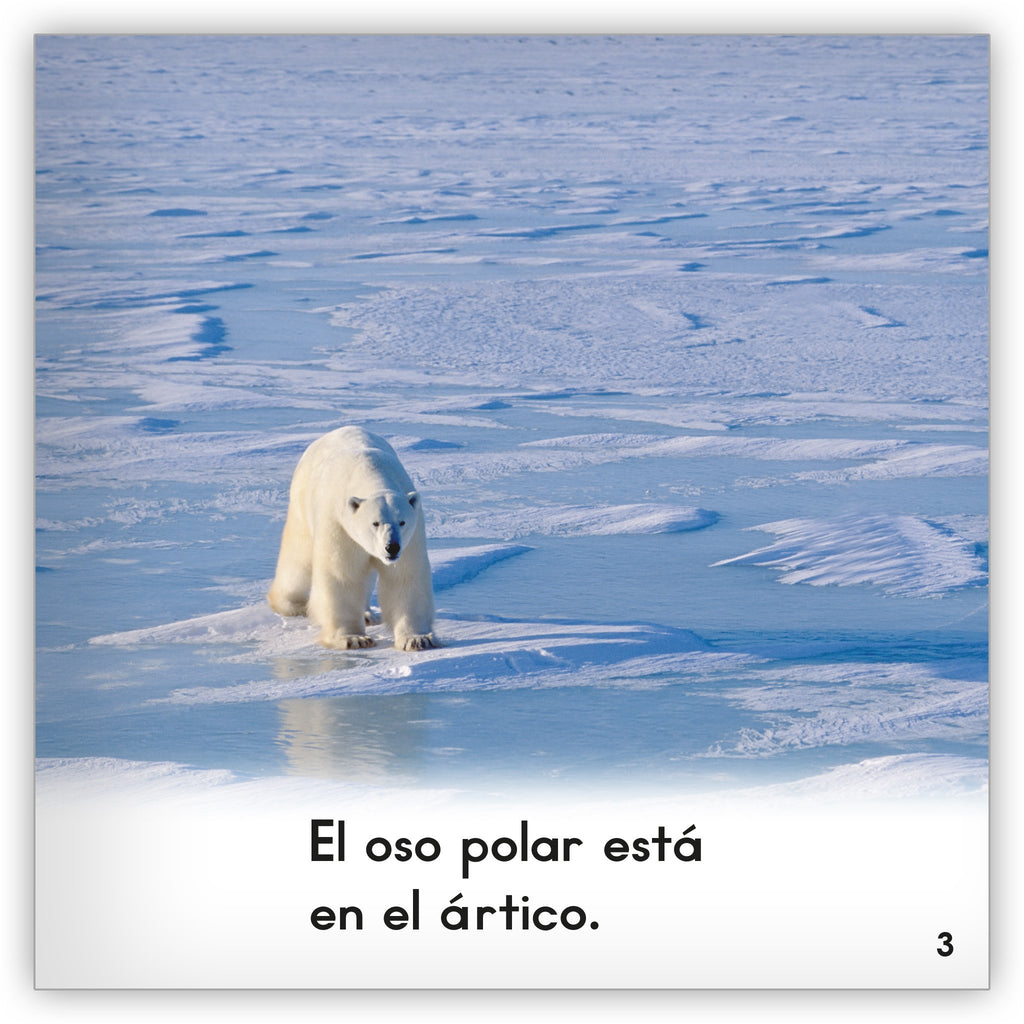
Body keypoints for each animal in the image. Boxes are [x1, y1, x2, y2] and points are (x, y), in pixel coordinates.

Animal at [267, 426, 437, 651]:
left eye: (402, 522)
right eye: (375, 523)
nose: (391, 547)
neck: (370, 471)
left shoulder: (412, 535)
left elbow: (404, 575)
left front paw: (417, 639)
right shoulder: (339, 525)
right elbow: (342, 575)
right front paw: (354, 638)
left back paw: (366, 614)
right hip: (301, 503)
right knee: (299, 559)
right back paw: (292, 604)